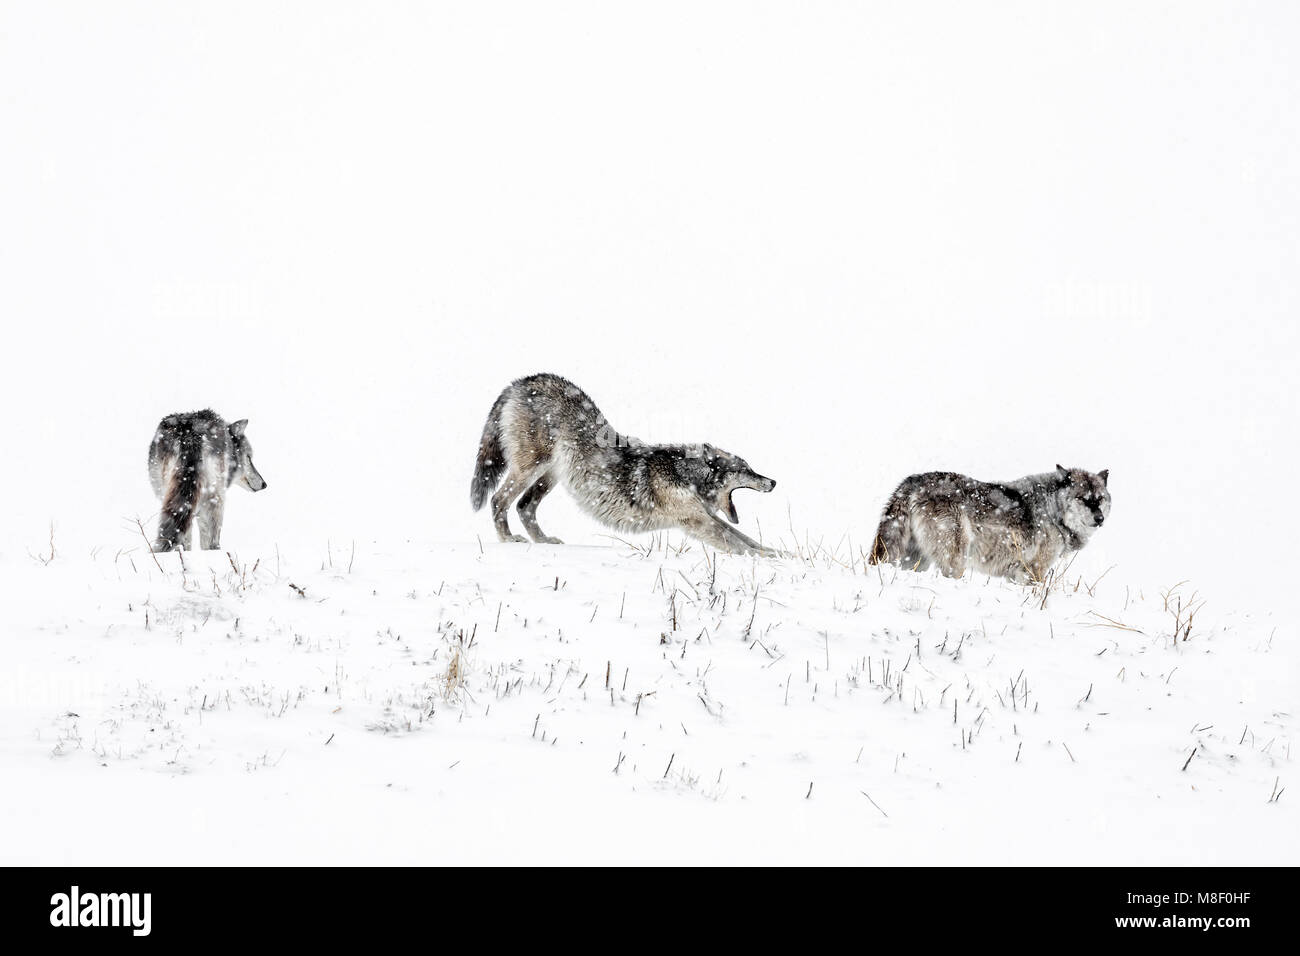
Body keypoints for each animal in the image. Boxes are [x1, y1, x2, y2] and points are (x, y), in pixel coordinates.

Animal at [470, 373, 778, 555]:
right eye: (746, 470)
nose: (773, 481)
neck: (686, 476)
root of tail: (520, 382)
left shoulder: (707, 517)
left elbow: (747, 539)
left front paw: (778, 553)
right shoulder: (697, 521)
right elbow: (740, 545)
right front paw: (771, 559)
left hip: (551, 476)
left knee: (524, 506)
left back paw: (544, 542)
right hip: (530, 468)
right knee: (499, 500)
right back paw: (509, 540)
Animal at [869, 465, 1110, 584]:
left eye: (1100, 499)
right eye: (1084, 499)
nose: (1100, 519)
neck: (1052, 511)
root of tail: (912, 482)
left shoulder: (1017, 575)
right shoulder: (1035, 571)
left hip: (914, 560)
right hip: (956, 561)